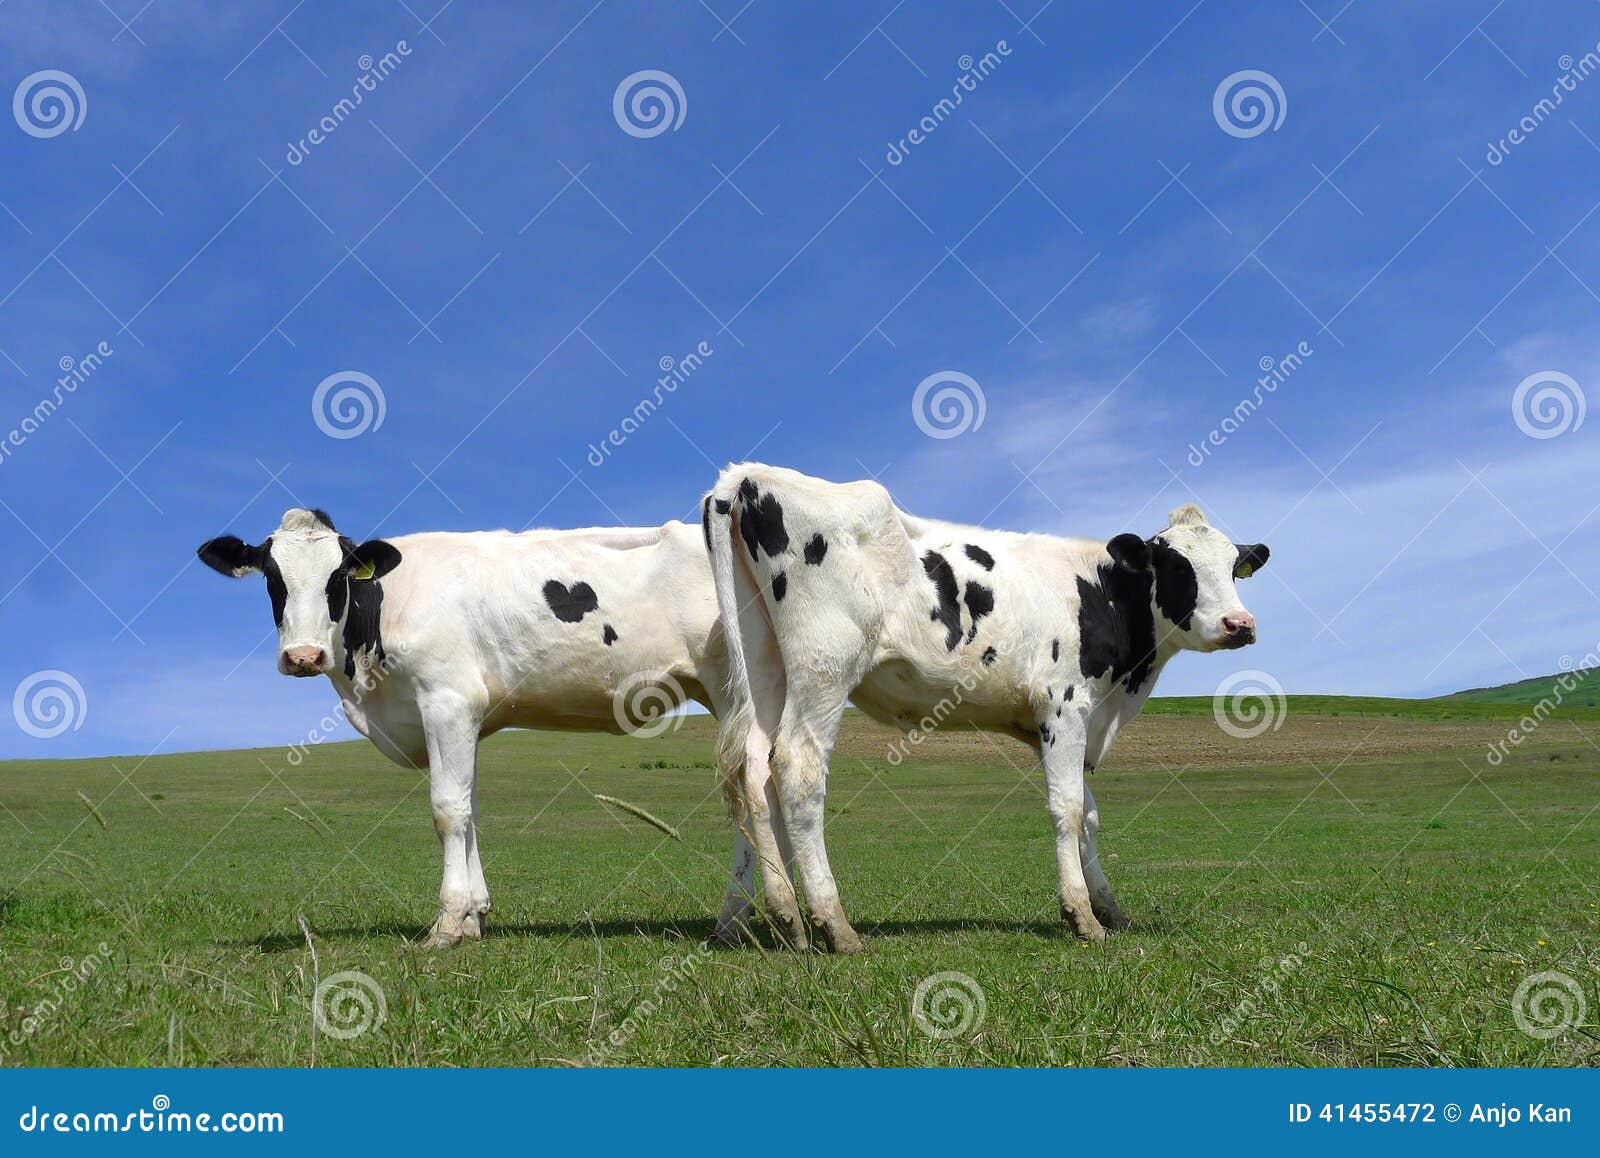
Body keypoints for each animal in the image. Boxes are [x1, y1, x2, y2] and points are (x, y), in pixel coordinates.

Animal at [198, 507, 774, 948]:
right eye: (273, 578)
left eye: (337, 577)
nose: (303, 656)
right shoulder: (467, 716)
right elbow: (469, 807)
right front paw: (475, 913)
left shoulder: (447, 700)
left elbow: (447, 809)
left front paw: (449, 922)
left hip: (731, 689)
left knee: (748, 785)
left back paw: (735, 918)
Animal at [704, 464, 1270, 953]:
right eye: (1176, 566)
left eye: (1233, 568)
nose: (1239, 624)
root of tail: (749, 475)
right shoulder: (1063, 705)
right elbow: (1067, 809)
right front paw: (1081, 917)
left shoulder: (1065, 723)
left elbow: (1088, 815)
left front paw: (1110, 909)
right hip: (824, 665)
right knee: (796, 767)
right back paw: (833, 925)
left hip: (766, 666)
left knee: (755, 770)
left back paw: (778, 917)